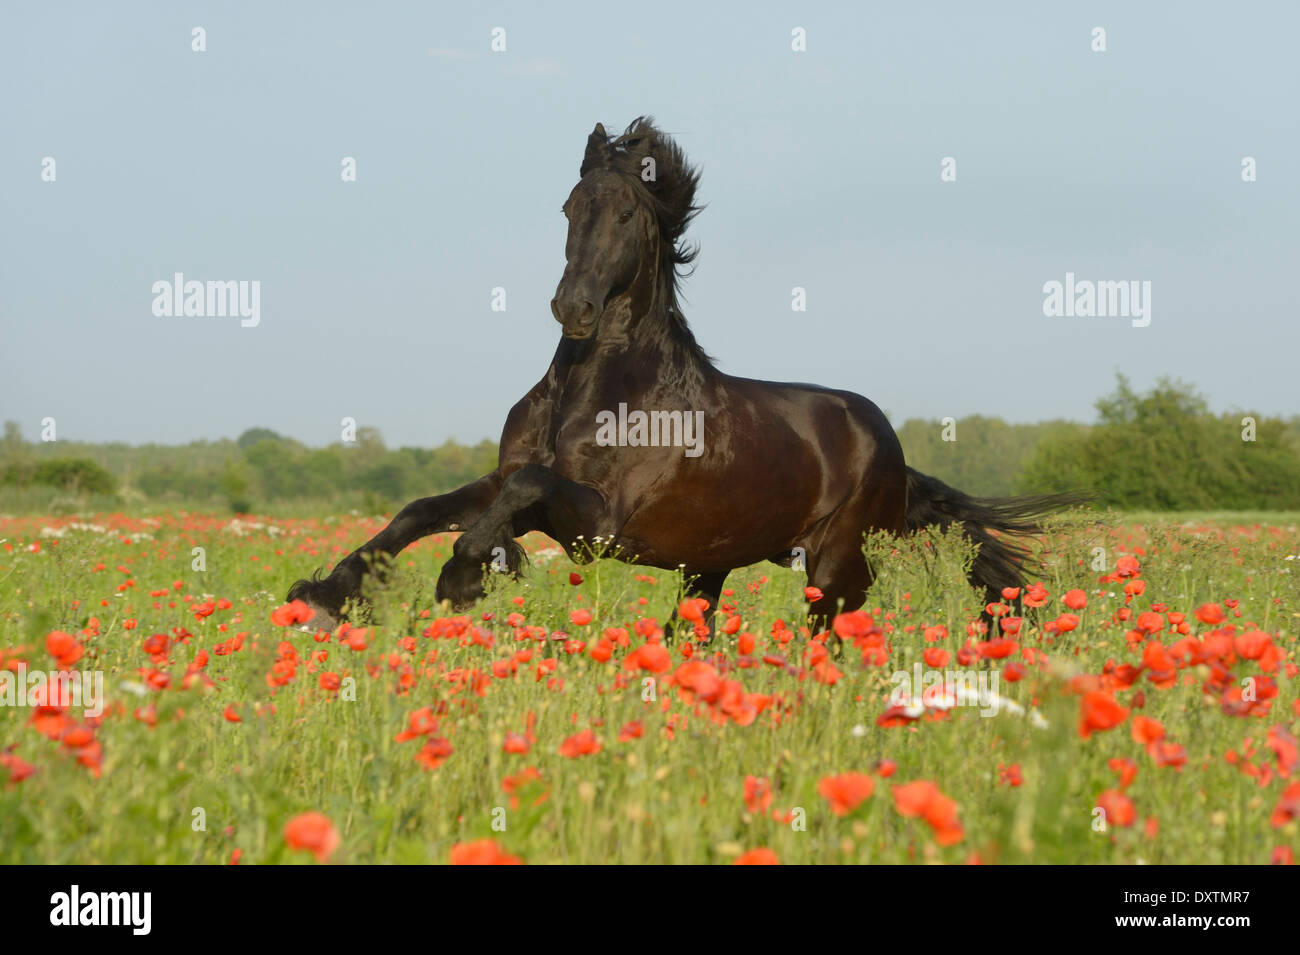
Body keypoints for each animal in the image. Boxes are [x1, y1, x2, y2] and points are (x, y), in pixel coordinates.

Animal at [288, 117, 1079, 638]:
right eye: (570, 207)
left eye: (627, 214)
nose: (573, 308)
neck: (598, 391)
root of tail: (892, 449)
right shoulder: (508, 485)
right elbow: (422, 508)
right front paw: (324, 597)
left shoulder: (598, 525)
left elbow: (524, 489)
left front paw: (464, 576)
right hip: (709, 569)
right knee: (689, 635)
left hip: (834, 569)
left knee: (824, 640)